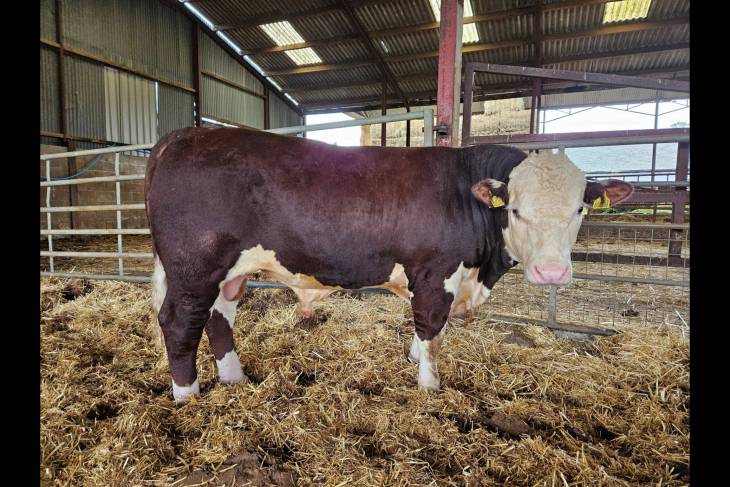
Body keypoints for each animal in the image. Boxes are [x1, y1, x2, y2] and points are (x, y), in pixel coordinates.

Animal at [145, 127, 633, 404]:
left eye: (579, 210)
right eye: (515, 210)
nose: (551, 273)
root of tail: (182, 135)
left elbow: (423, 332)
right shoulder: (436, 274)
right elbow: (432, 330)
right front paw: (429, 388)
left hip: (231, 272)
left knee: (219, 318)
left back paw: (235, 380)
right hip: (195, 267)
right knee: (179, 322)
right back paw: (187, 398)